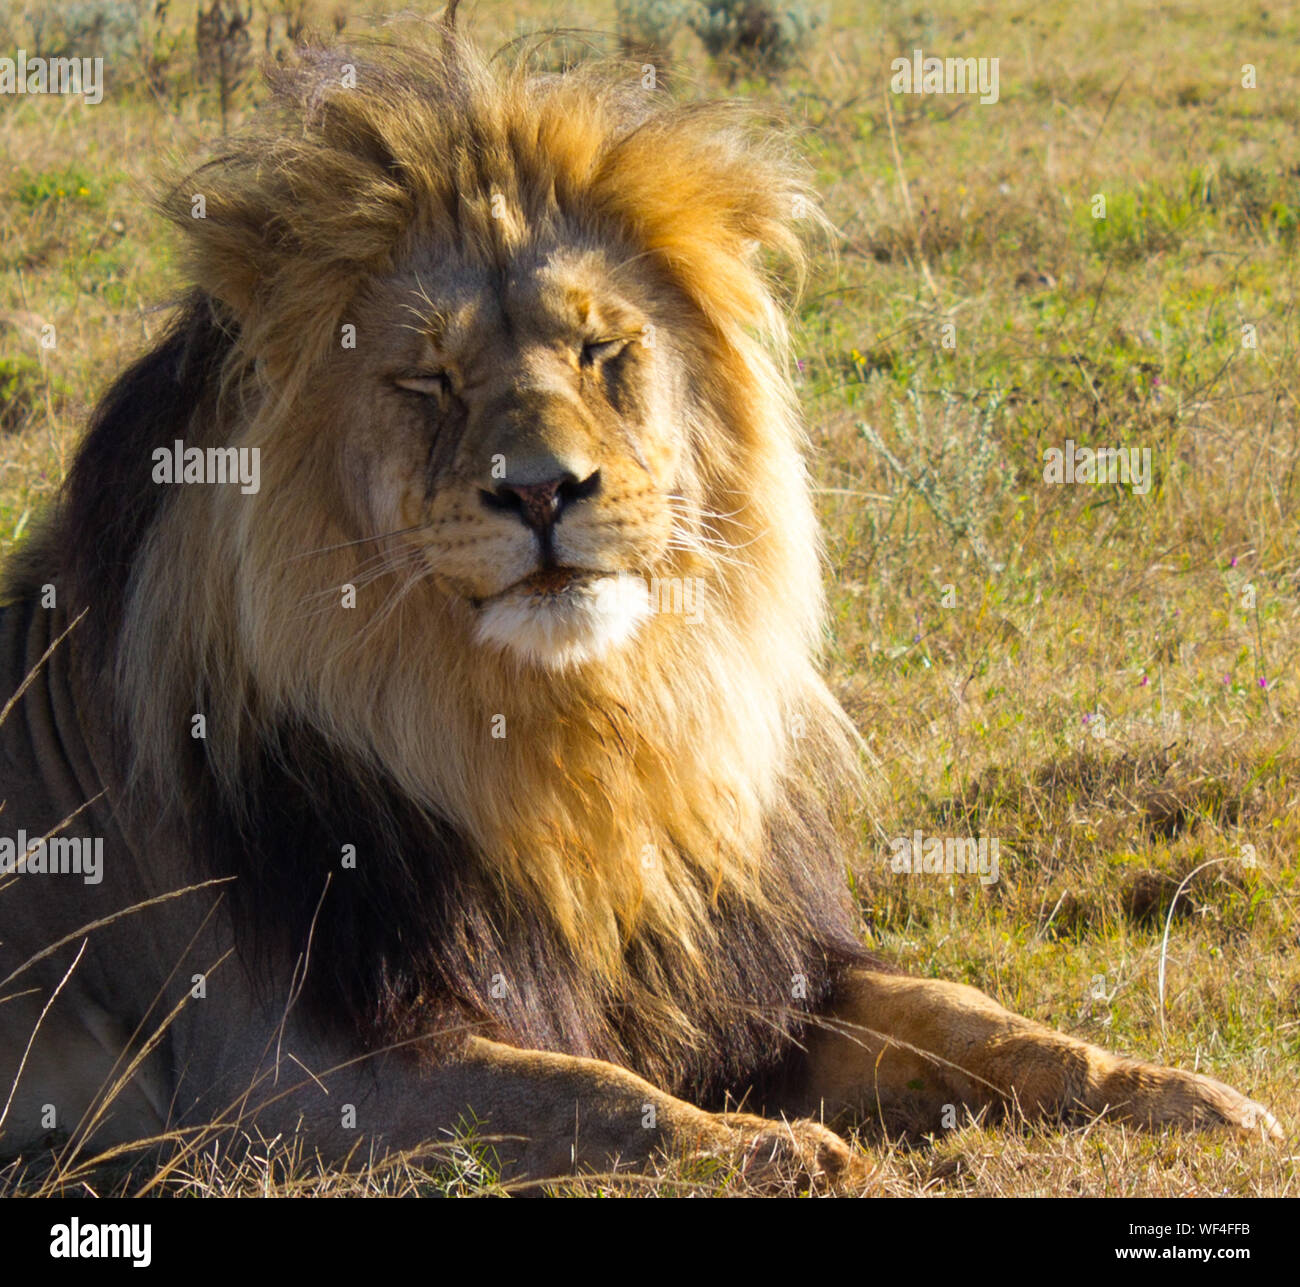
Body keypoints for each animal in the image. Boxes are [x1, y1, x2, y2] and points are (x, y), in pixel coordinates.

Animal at [0, 21, 1280, 1189]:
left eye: (599, 349)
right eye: (427, 379)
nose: (541, 489)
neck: (571, 741)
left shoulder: (747, 967)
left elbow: (973, 1014)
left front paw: (1194, 1097)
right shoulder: (282, 1085)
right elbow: (591, 1096)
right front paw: (773, 1147)